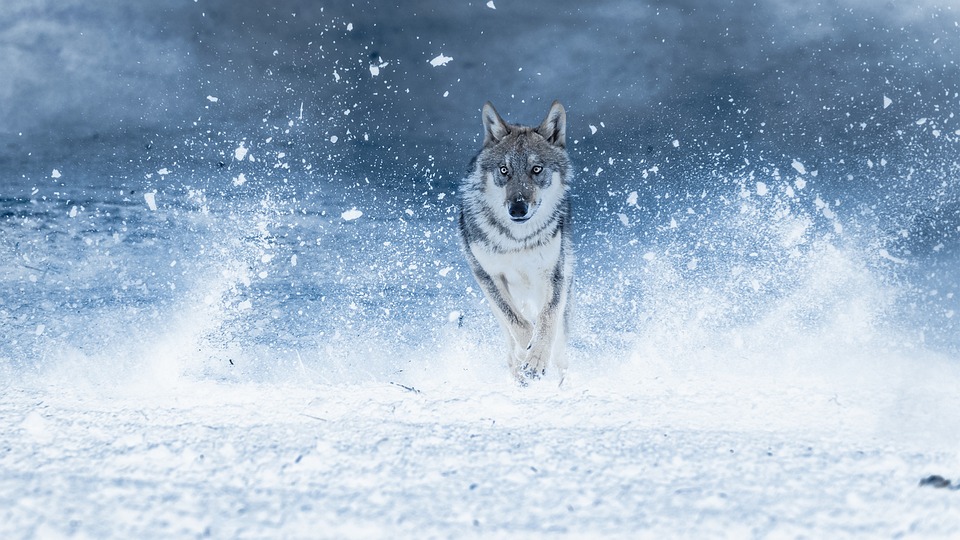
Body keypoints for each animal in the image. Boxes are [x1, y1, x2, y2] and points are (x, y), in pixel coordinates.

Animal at [458, 101, 574, 383]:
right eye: (504, 170)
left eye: (536, 169)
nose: (518, 208)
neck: (517, 240)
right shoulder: (486, 274)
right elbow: (516, 321)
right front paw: (526, 356)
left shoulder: (554, 274)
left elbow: (547, 320)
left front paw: (537, 360)